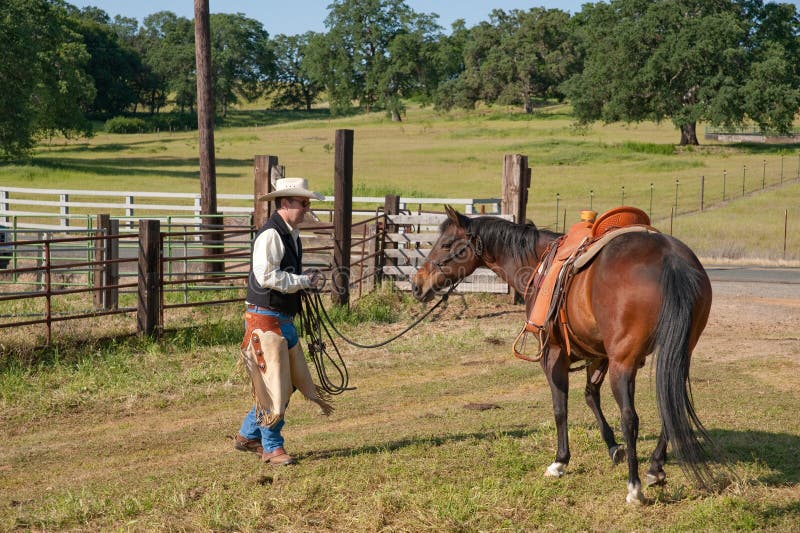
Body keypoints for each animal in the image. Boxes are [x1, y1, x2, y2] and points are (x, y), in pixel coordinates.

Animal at [411, 206, 716, 504]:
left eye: (446, 244)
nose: (417, 285)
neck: (536, 263)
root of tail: (669, 259)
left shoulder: (554, 355)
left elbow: (560, 408)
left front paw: (560, 461)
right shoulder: (599, 354)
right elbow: (590, 396)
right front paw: (613, 447)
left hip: (624, 363)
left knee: (630, 417)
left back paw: (634, 487)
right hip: (677, 355)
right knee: (669, 404)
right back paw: (655, 467)